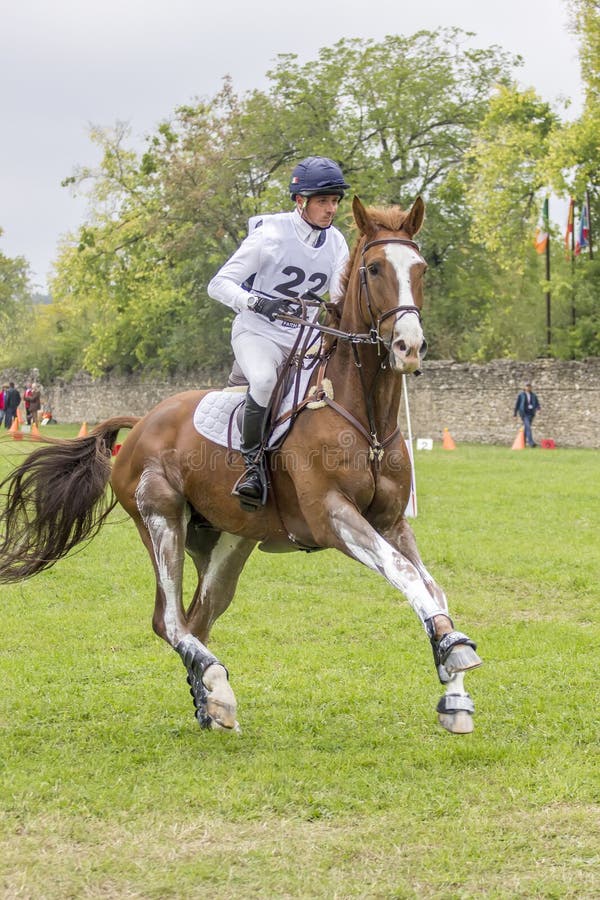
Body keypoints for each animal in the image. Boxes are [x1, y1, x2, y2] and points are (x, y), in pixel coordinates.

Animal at [0, 196, 481, 735]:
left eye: (420, 269)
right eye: (375, 268)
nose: (408, 347)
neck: (366, 418)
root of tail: (142, 421)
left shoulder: (391, 522)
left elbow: (431, 586)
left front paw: (454, 683)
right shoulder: (333, 516)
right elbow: (403, 571)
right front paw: (453, 653)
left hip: (228, 542)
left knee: (197, 617)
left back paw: (209, 702)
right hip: (161, 516)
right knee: (169, 620)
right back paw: (217, 687)